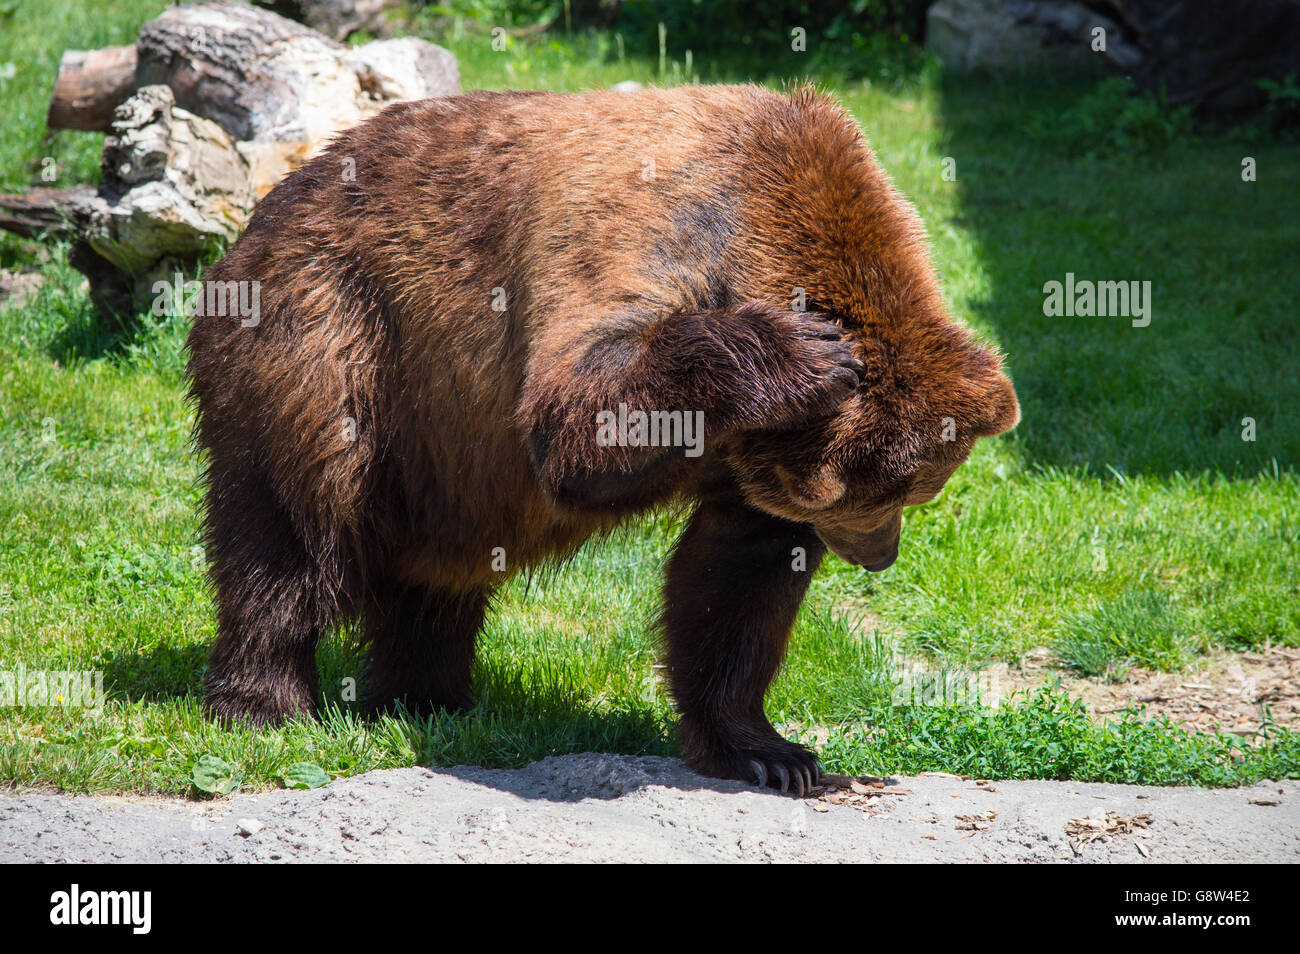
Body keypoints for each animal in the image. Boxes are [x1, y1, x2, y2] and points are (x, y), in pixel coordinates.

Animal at [186, 84, 1019, 795]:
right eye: (881, 498)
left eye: (916, 490)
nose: (880, 554)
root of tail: (263, 214)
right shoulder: (643, 240)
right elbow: (578, 411)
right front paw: (805, 350)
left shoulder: (752, 466)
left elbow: (737, 582)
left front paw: (770, 752)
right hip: (336, 335)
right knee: (290, 524)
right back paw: (264, 701)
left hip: (441, 449)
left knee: (435, 572)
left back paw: (429, 695)